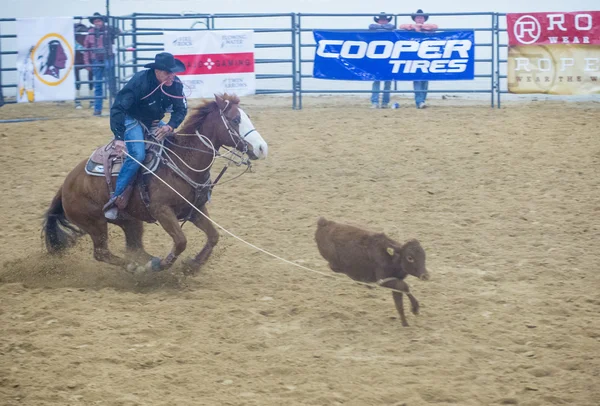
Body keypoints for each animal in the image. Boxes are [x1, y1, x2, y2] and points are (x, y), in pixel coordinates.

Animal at [42, 93, 268, 274]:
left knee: (134, 248)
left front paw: (192, 265)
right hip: (95, 223)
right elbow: (181, 241)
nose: (262, 148)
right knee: (101, 252)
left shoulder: (195, 210)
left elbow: (213, 236)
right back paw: (137, 266)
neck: (182, 160)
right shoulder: (162, 211)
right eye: (235, 119)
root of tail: (65, 185)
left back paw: (145, 262)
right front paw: (164, 265)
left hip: (131, 221)